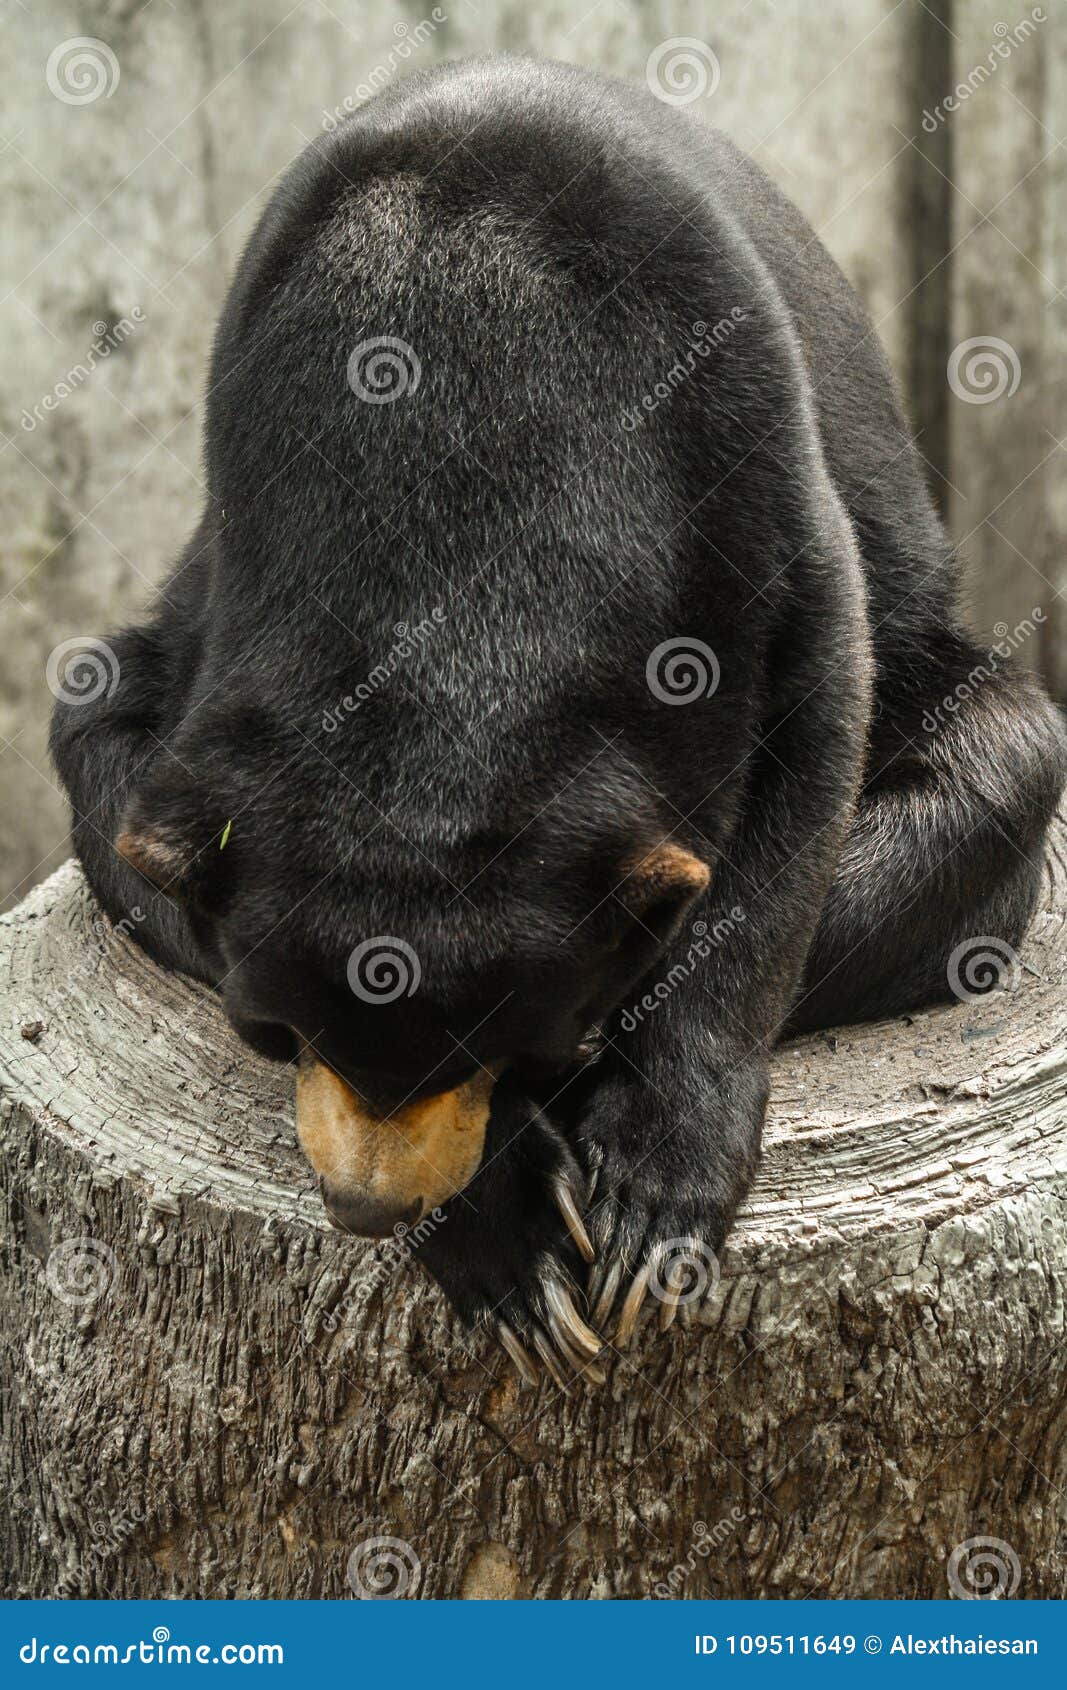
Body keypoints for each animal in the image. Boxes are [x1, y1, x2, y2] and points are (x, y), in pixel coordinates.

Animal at [51, 55, 1066, 1389]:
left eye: (510, 1039)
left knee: (1002, 760)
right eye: (272, 1031)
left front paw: (646, 1207)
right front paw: (513, 1247)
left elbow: (806, 747)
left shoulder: (752, 456)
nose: (366, 1208)